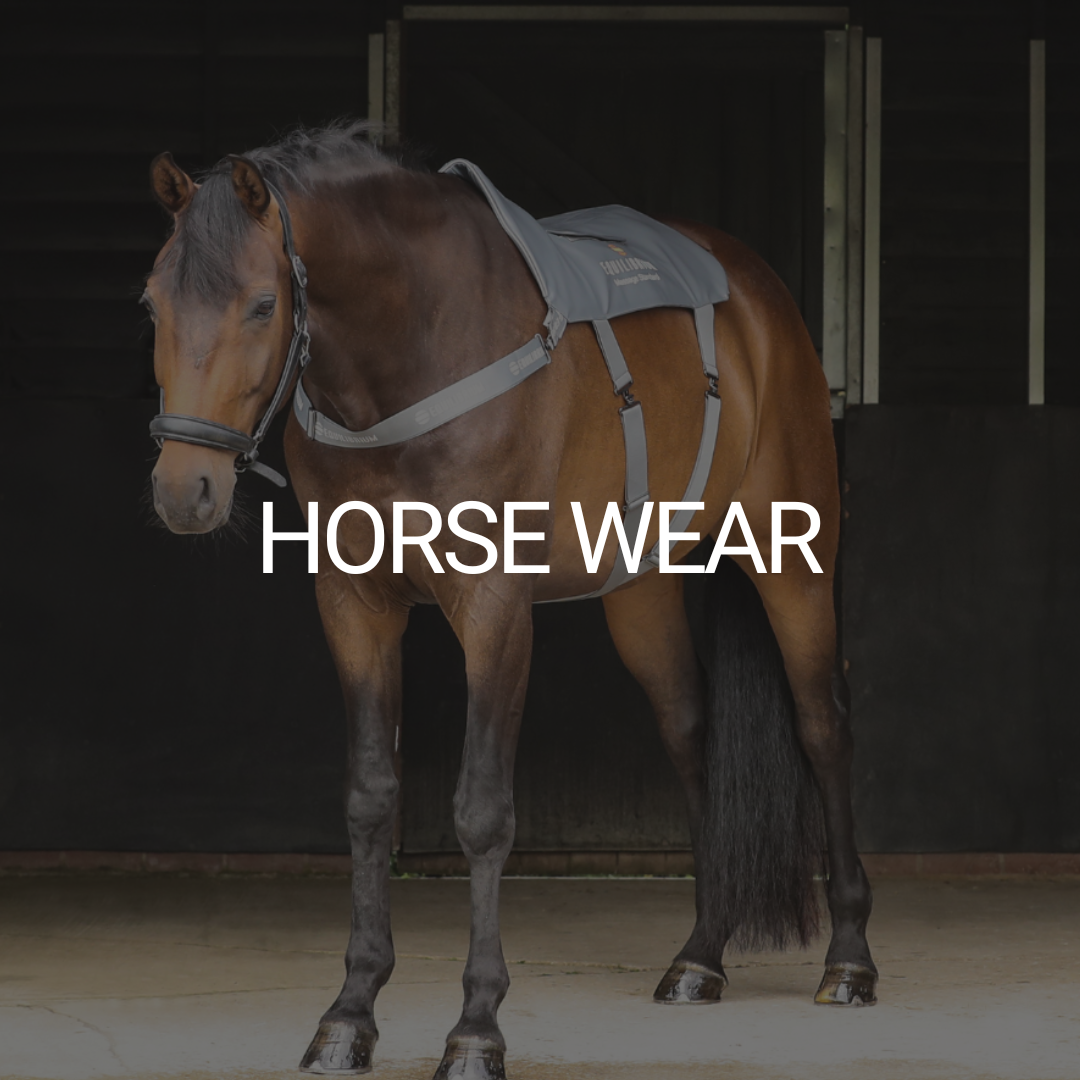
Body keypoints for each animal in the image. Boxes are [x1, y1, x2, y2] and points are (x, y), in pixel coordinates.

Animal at [143, 121, 876, 1079]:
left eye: (264, 306)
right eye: (152, 305)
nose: (182, 489)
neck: (409, 354)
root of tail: (759, 292)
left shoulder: (493, 609)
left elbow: (483, 811)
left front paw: (475, 1029)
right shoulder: (354, 605)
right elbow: (369, 798)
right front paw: (349, 1014)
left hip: (794, 557)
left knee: (823, 726)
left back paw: (849, 960)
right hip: (640, 590)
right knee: (692, 735)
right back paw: (700, 957)